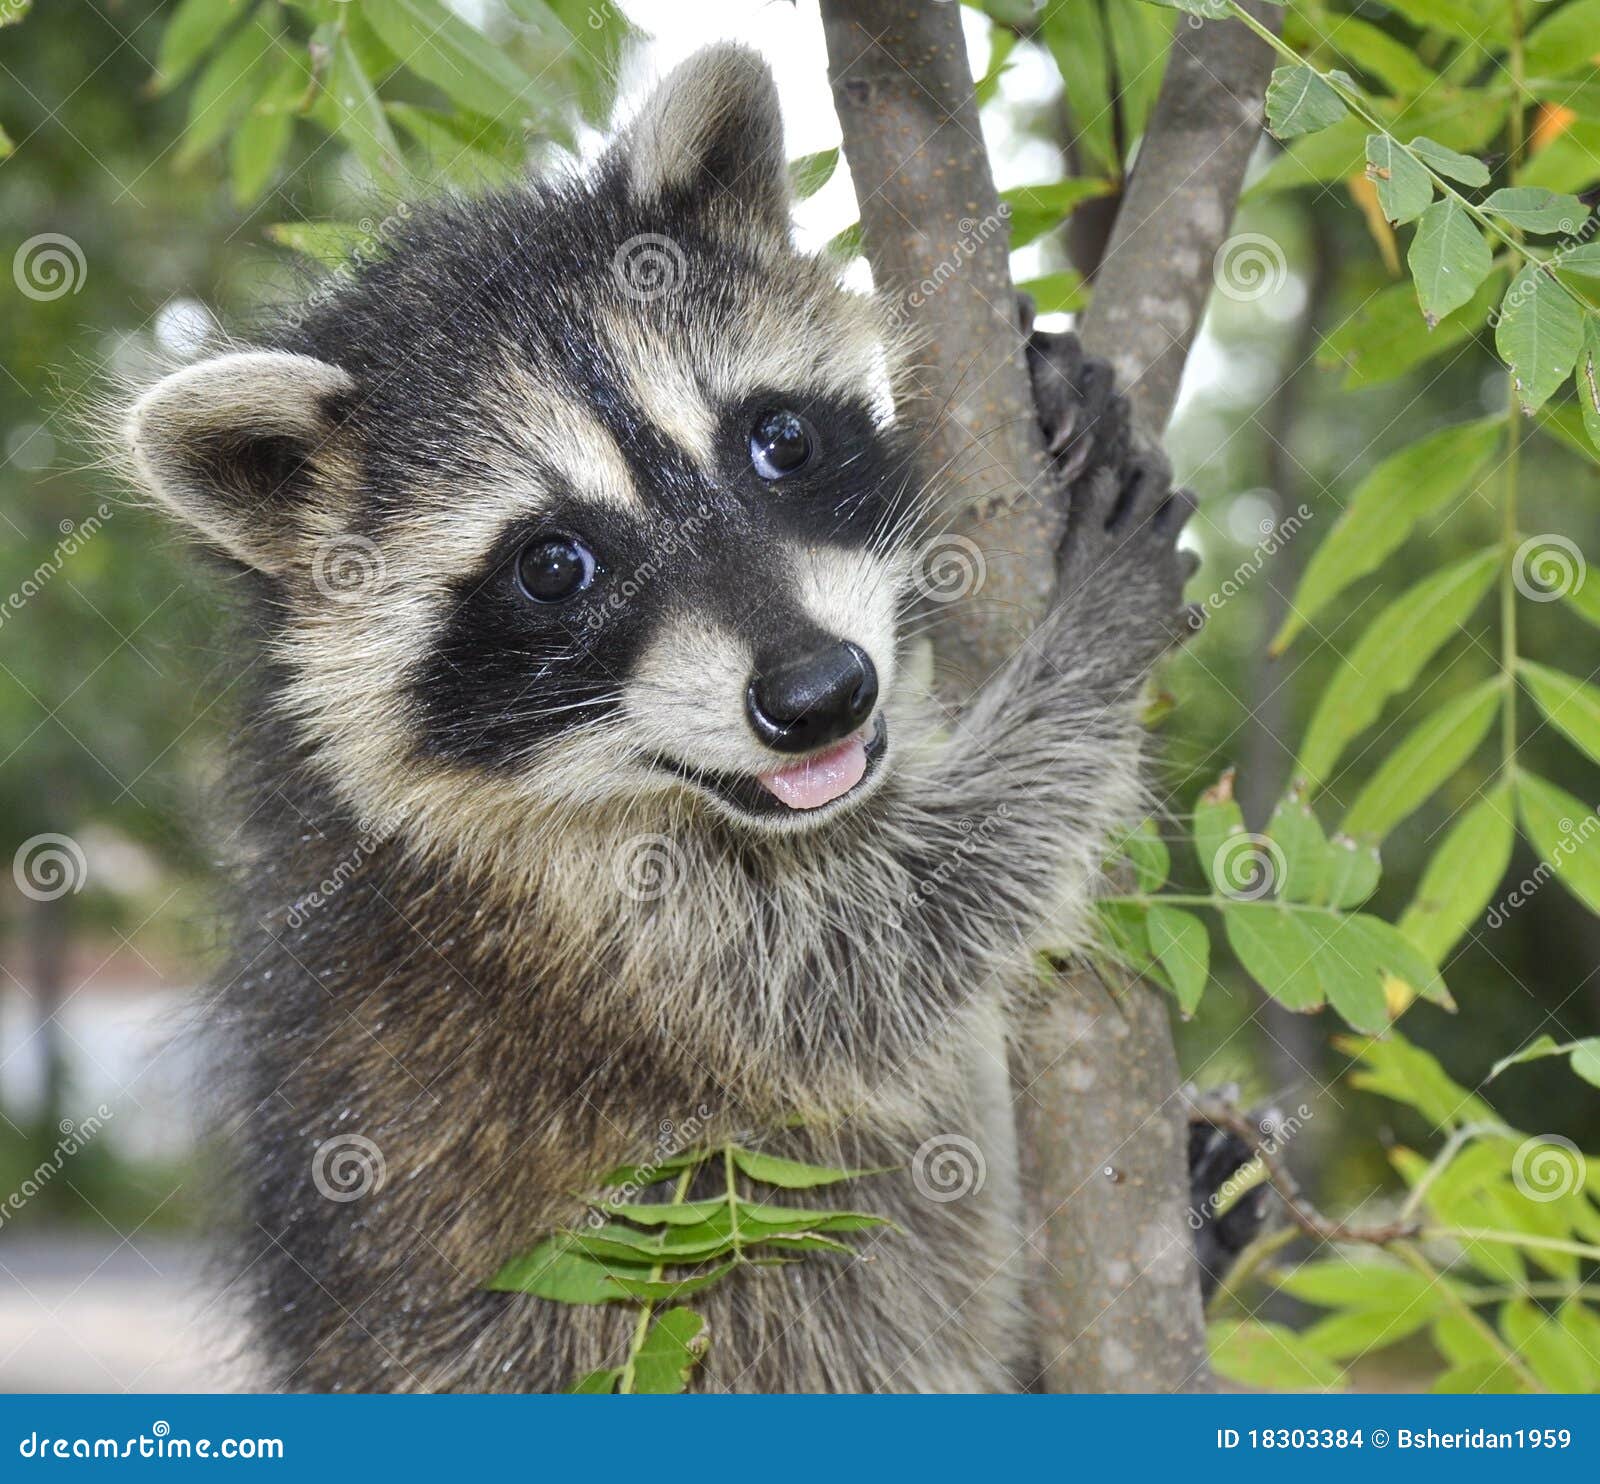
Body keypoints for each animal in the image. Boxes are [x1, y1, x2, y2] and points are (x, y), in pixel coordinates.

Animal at [123, 46, 1203, 1392]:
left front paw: (1061, 397)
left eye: (778, 439)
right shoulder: (568, 929)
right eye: (552, 564)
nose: (821, 693)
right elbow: (887, 951)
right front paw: (1088, 650)